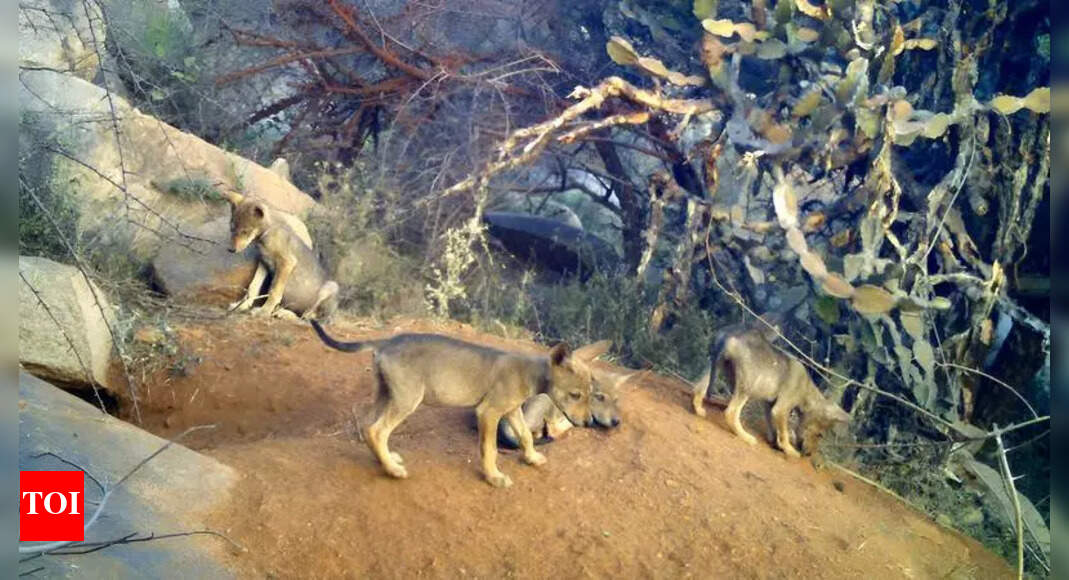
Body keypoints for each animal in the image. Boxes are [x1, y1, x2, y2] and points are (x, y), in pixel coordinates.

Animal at [222, 190, 338, 321]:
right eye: (232, 229)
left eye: (245, 231)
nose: (231, 249)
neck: (267, 233)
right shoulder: (264, 262)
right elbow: (253, 286)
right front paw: (242, 306)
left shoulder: (287, 263)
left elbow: (274, 292)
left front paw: (264, 311)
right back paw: (279, 311)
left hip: (331, 287)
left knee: (306, 316)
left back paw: (284, 314)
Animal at [311, 320, 607, 488]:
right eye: (575, 395)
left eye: (591, 394)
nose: (588, 422)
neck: (530, 372)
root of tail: (386, 341)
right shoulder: (488, 412)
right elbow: (490, 449)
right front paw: (493, 477)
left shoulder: (511, 410)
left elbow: (525, 436)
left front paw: (532, 458)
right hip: (407, 399)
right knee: (377, 430)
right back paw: (393, 471)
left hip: (386, 394)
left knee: (367, 425)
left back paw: (385, 460)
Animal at [692, 325, 850, 458]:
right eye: (819, 435)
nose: (809, 455)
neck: (806, 390)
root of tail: (729, 337)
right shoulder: (780, 409)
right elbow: (784, 433)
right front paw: (789, 450)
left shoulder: (769, 404)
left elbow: (773, 428)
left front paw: (775, 443)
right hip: (746, 387)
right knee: (730, 413)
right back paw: (746, 437)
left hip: (713, 365)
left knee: (698, 389)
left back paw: (699, 410)